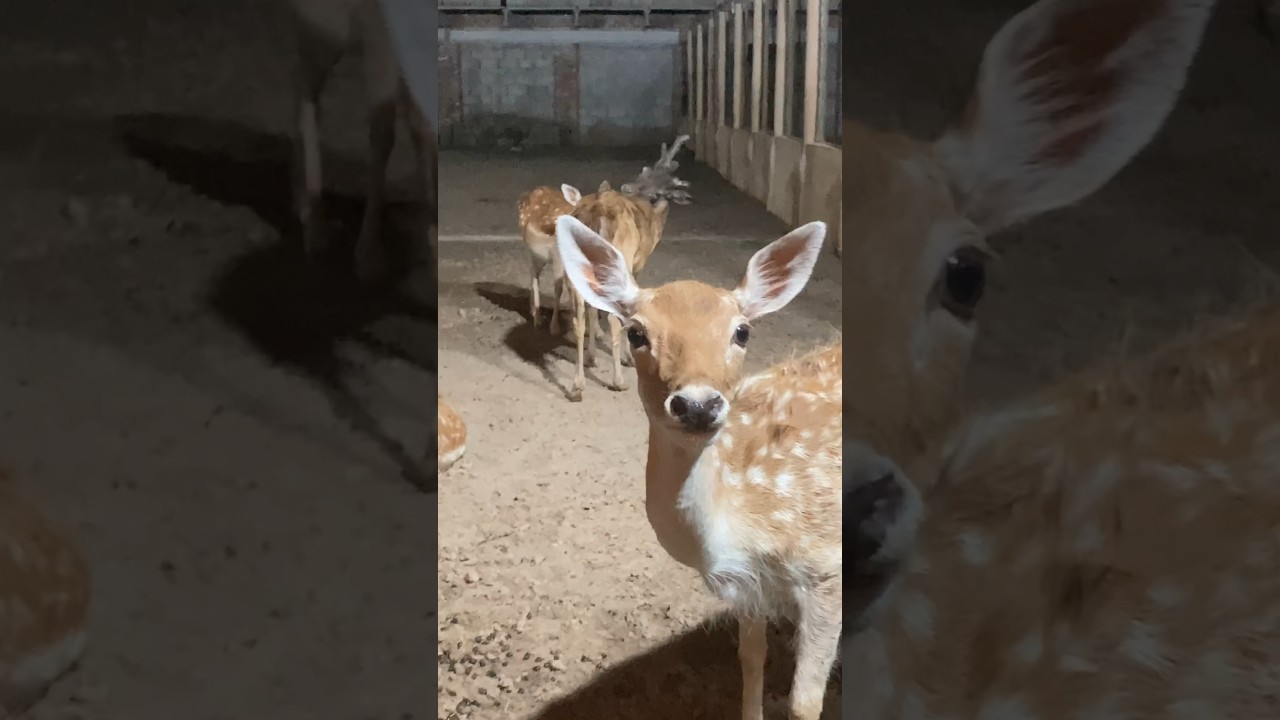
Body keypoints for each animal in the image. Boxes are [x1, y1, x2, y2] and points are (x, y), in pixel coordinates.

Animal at [287, 0, 437, 284]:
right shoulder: (383, 28)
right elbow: (383, 131)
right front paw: (369, 258)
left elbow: (420, 125)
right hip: (326, 23)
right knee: (307, 88)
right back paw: (313, 223)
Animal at [557, 215, 839, 720]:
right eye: (636, 333)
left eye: (743, 331)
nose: (697, 404)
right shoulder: (749, 585)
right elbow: (751, 658)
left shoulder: (827, 566)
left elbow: (805, 702)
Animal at [562, 136, 693, 402]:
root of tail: (598, 214)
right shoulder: (637, 263)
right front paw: (627, 357)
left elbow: (593, 310)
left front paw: (592, 358)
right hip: (620, 255)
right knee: (613, 317)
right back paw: (618, 380)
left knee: (579, 317)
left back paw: (577, 386)